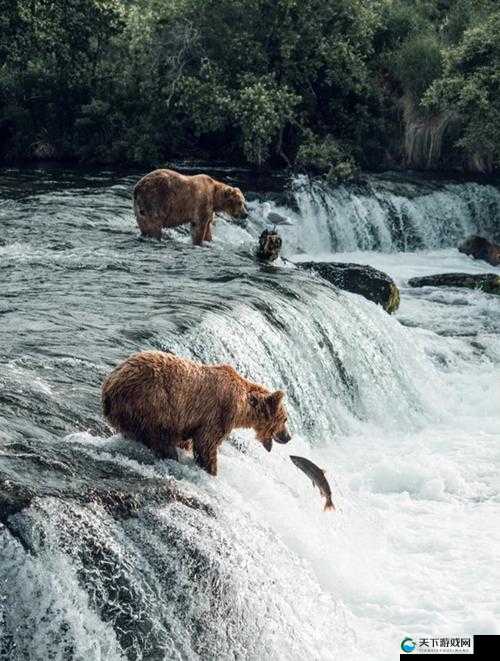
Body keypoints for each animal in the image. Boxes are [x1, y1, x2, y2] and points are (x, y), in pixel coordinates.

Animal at [101, 351, 291, 475]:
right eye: (285, 419)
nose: (288, 437)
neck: (242, 406)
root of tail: (109, 384)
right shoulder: (217, 413)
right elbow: (206, 444)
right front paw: (211, 470)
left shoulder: (187, 422)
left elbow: (187, 441)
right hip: (151, 403)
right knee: (161, 439)